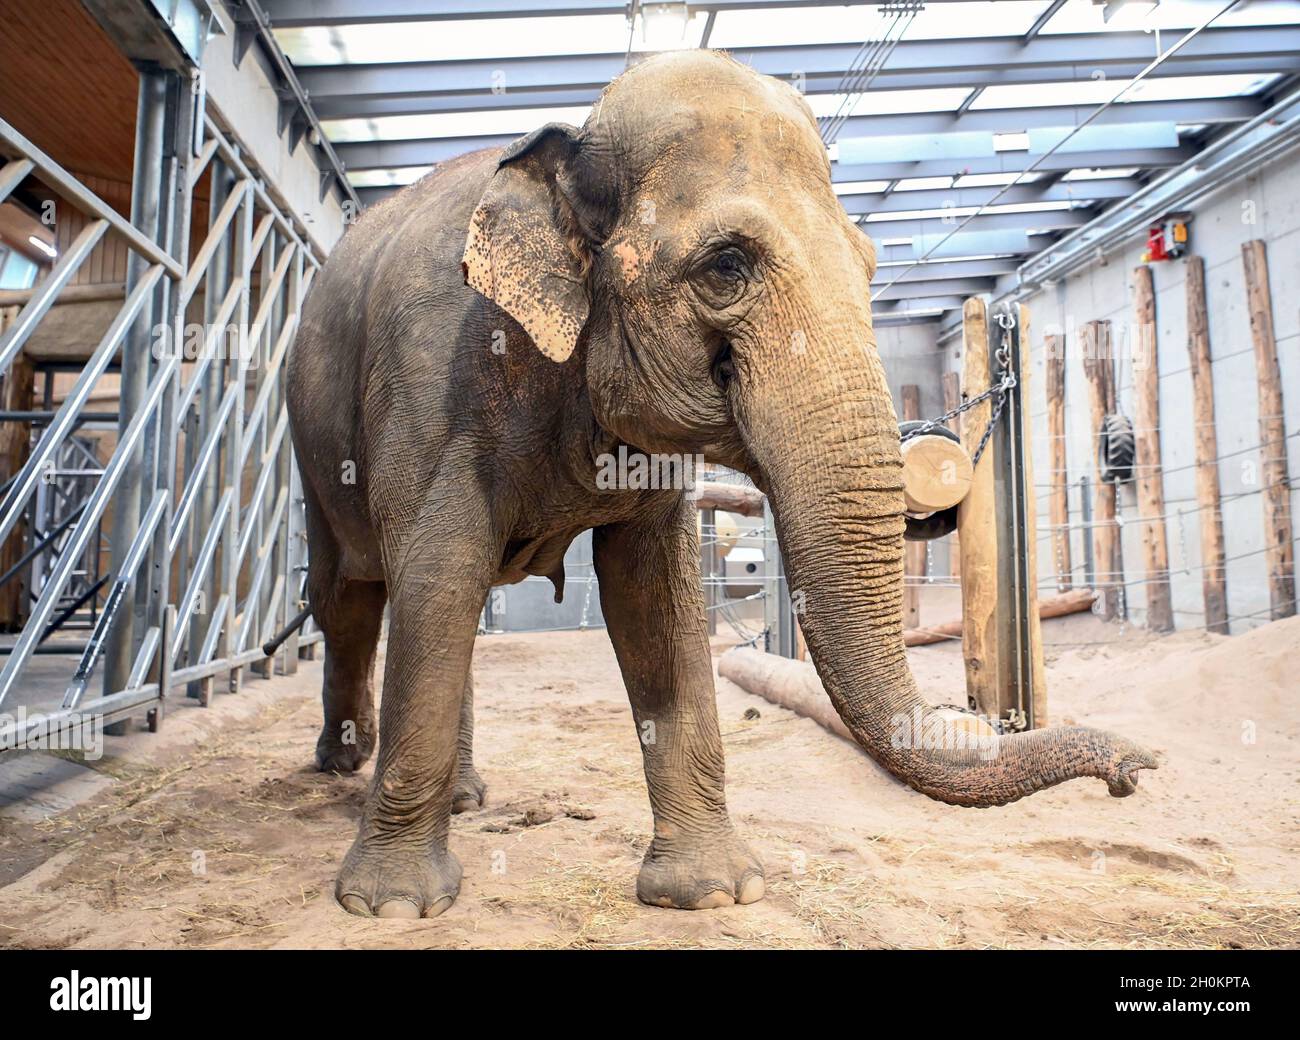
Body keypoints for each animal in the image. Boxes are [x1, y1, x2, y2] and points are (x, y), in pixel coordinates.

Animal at [285, 50, 1157, 920]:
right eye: (725, 265)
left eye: (869, 265)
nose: (1135, 769)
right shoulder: (432, 387)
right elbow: (439, 570)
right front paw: (391, 907)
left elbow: (654, 596)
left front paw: (713, 893)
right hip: (310, 450)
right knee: (354, 597)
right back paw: (342, 763)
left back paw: (461, 796)